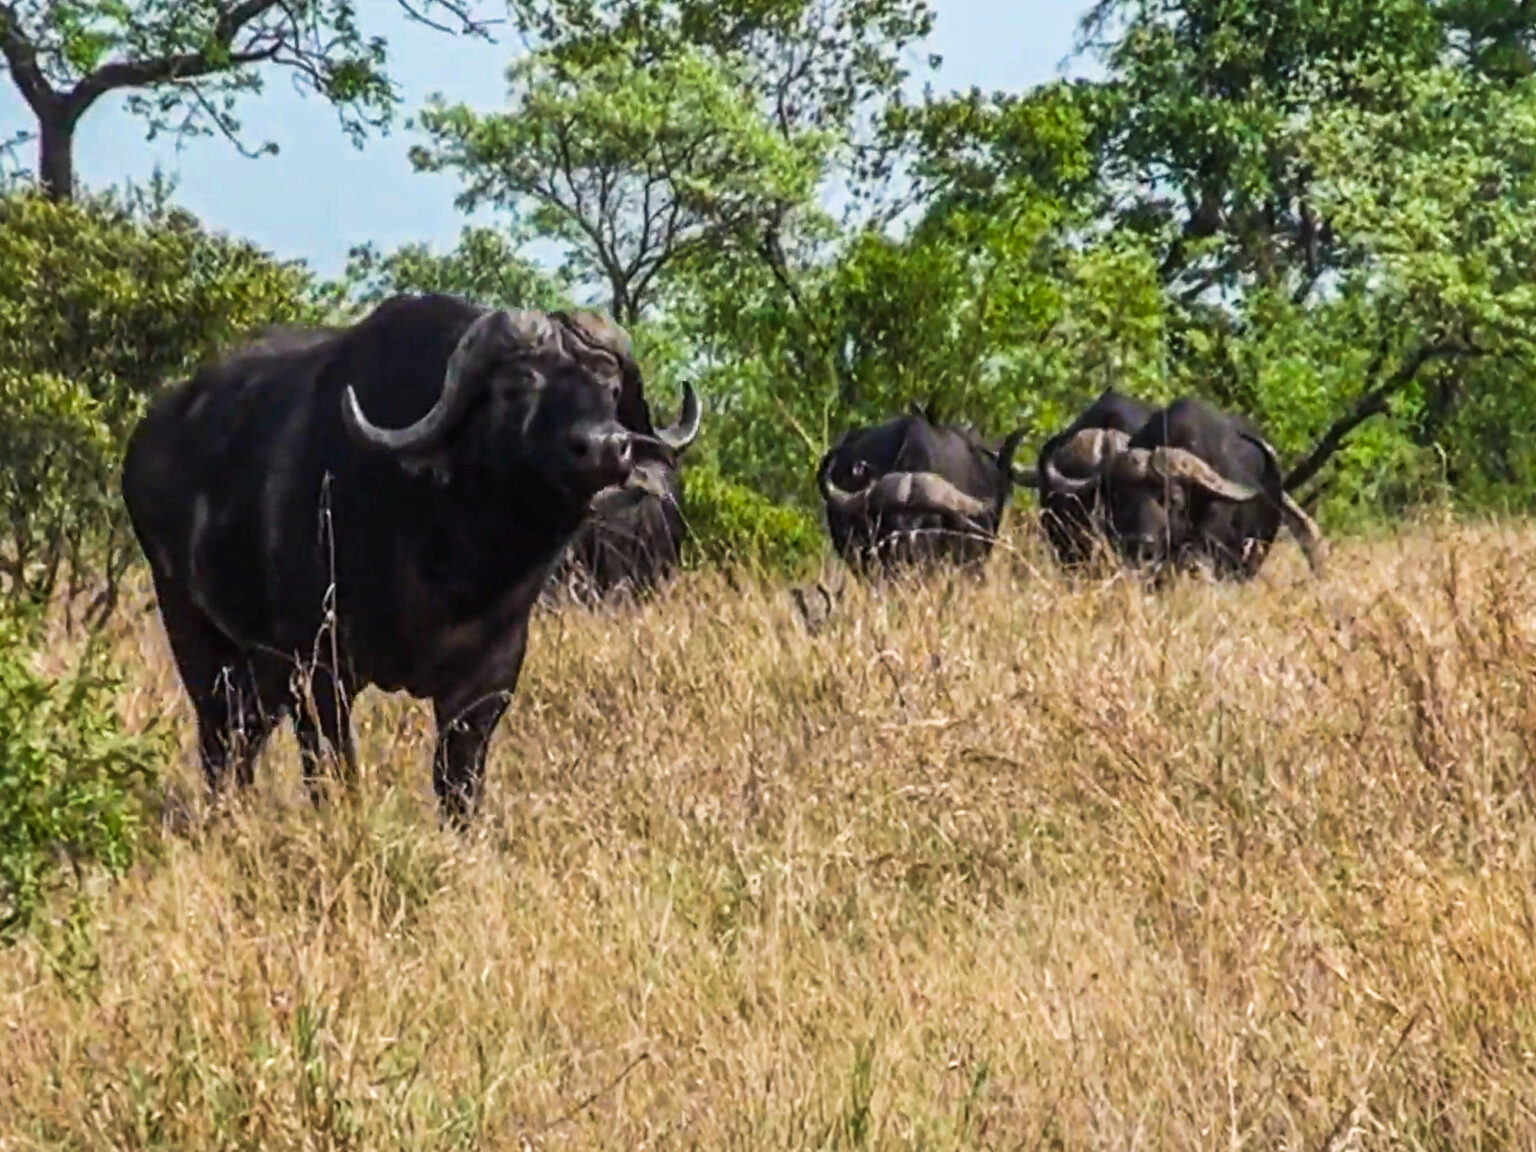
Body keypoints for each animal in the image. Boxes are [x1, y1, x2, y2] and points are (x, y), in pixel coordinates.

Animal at [122, 293, 700, 822]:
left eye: (610, 387)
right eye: (518, 386)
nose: (606, 446)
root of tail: (146, 441)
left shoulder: (487, 682)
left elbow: (457, 784)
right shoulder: (320, 669)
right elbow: (333, 773)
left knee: (245, 736)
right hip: (192, 630)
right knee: (220, 736)